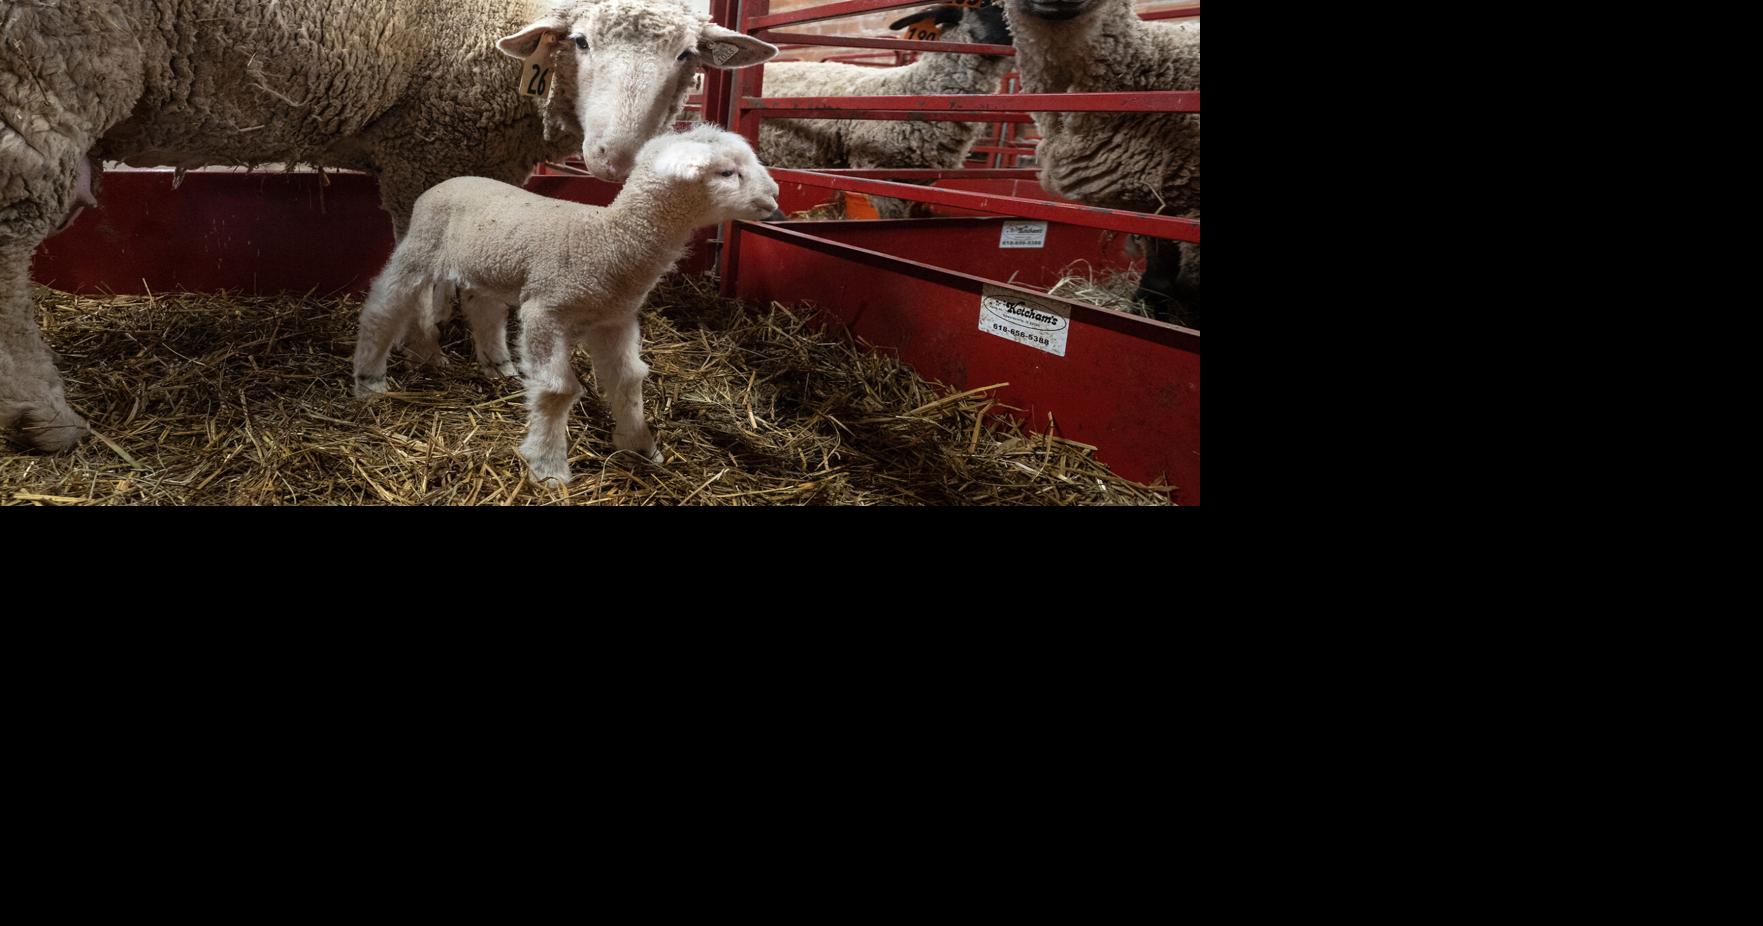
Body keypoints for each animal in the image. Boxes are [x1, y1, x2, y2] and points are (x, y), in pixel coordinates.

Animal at [351, 126, 780, 486]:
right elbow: (557, 391)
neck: (610, 240)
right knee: (384, 307)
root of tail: (448, 181)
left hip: (488, 265)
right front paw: (547, 466)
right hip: (420, 247)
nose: (775, 196)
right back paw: (369, 379)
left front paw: (640, 446)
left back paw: (496, 364)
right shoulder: (545, 312)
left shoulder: (615, 319)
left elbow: (629, 380)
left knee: (482, 308)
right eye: (727, 172)